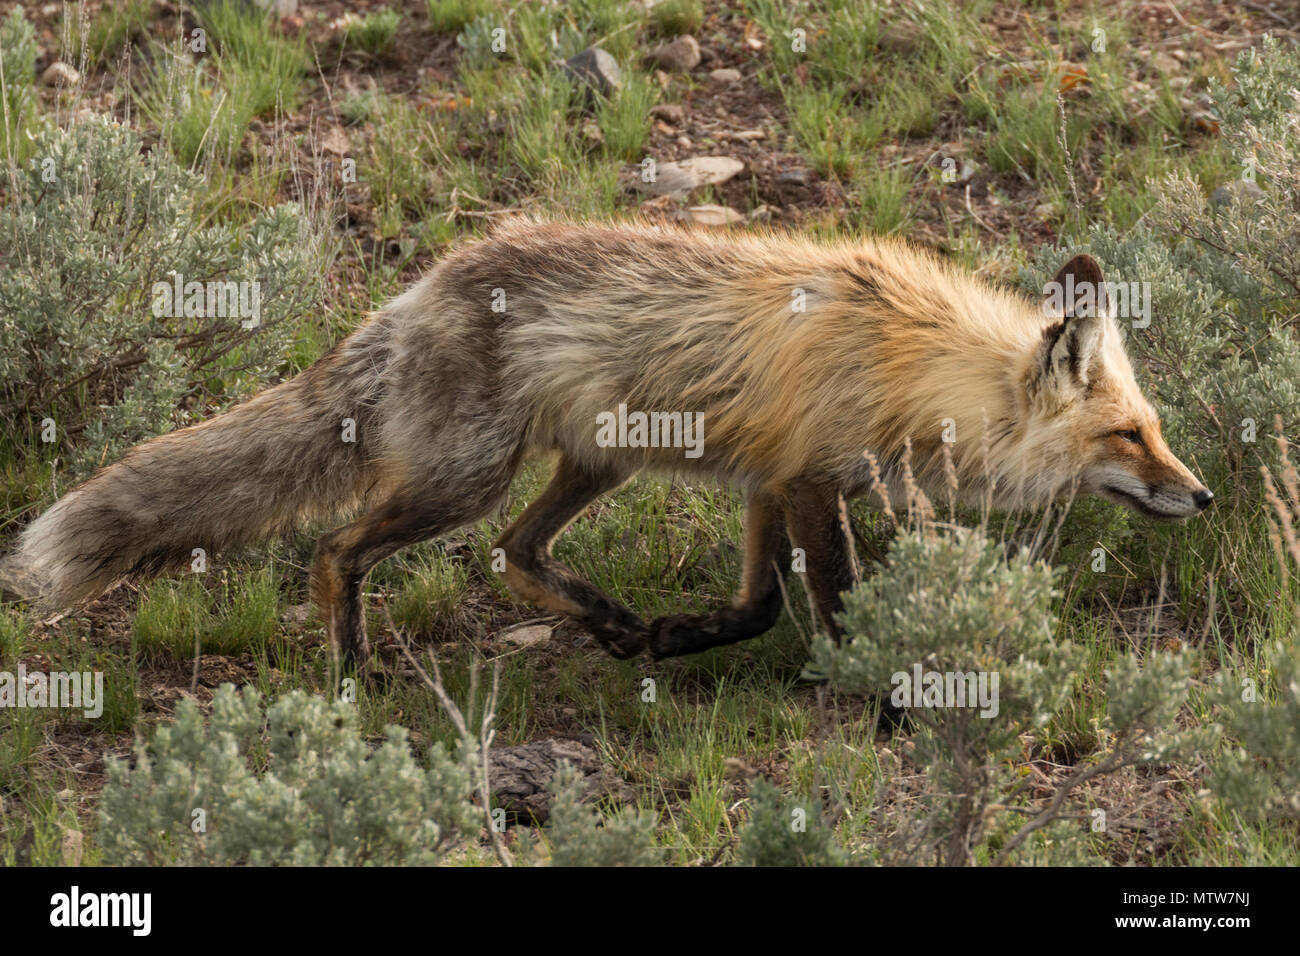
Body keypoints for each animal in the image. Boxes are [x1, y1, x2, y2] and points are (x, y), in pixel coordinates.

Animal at [0, 220, 1212, 666]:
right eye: (1127, 435)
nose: (1200, 497)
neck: (911, 363)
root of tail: (419, 287)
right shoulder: (811, 480)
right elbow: (831, 601)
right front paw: (881, 688)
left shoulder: (770, 478)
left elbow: (757, 603)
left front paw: (685, 636)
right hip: (465, 480)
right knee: (338, 550)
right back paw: (348, 671)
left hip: (592, 464)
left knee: (518, 554)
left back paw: (615, 624)